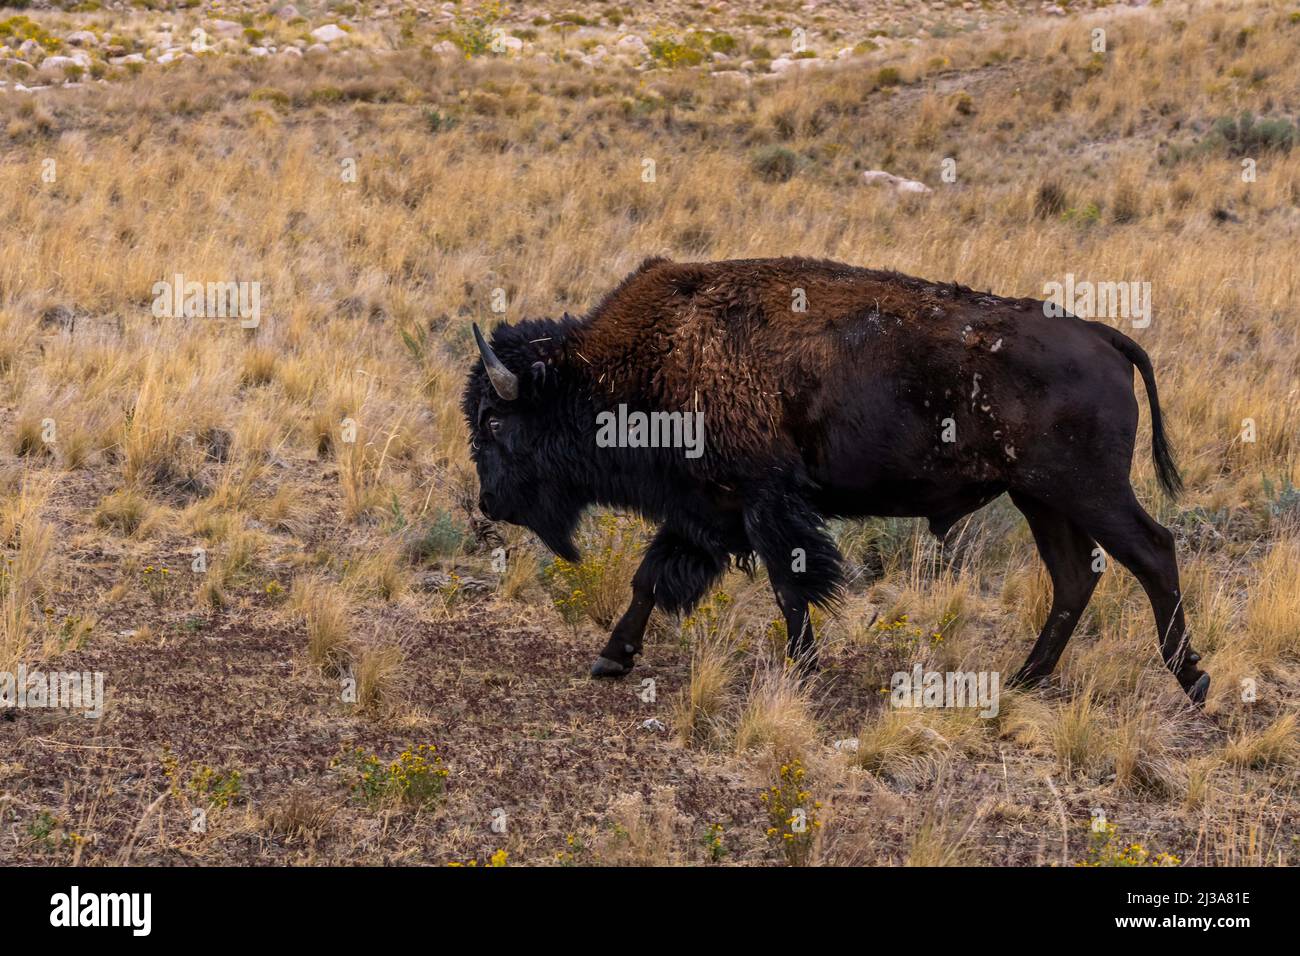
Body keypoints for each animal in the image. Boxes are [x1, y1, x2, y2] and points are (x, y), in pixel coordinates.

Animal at [463, 257, 1209, 703]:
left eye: (495, 420)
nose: (488, 504)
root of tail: (1105, 335)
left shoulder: (763, 504)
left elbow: (789, 587)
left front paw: (802, 670)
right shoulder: (705, 510)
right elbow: (652, 578)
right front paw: (611, 658)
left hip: (1085, 491)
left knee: (1152, 552)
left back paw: (1193, 680)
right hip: (1040, 498)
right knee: (1075, 576)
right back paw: (1024, 680)